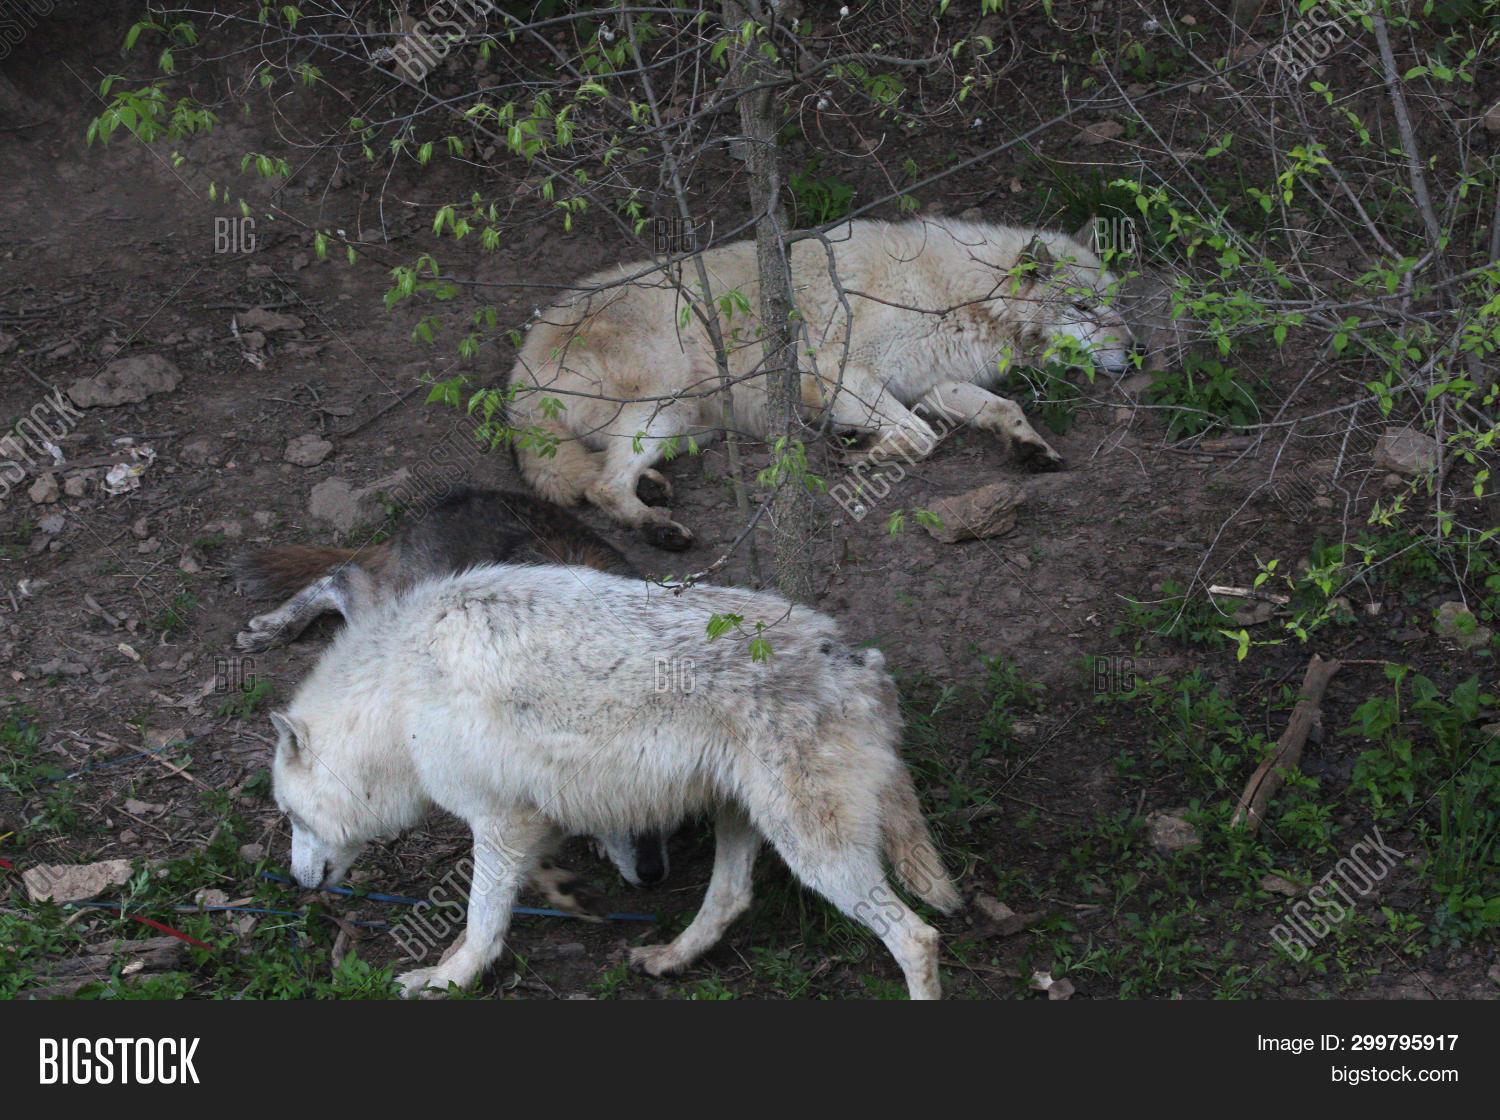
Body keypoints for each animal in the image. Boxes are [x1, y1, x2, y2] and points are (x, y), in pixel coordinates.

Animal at [269, 563, 962, 999]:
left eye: (291, 818)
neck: (398, 693)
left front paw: (450, 978)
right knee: (731, 898)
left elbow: (482, 919)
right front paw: (568, 894)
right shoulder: (531, 815)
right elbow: (531, 878)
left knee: (918, 939)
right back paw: (667, 958)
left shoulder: (497, 819)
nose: (299, 883)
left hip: (818, 854)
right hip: (743, 815)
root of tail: (862, 663)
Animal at [508, 217, 1135, 550]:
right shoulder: (843, 375)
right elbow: (921, 438)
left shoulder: (933, 384)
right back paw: (661, 529)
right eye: (1084, 307)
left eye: (1113, 303)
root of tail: (517, 380)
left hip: (687, 422)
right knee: (602, 486)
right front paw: (860, 452)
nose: (1136, 352)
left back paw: (657, 489)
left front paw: (1032, 447)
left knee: (606, 468)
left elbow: (1003, 409)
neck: (957, 296)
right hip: (669, 398)